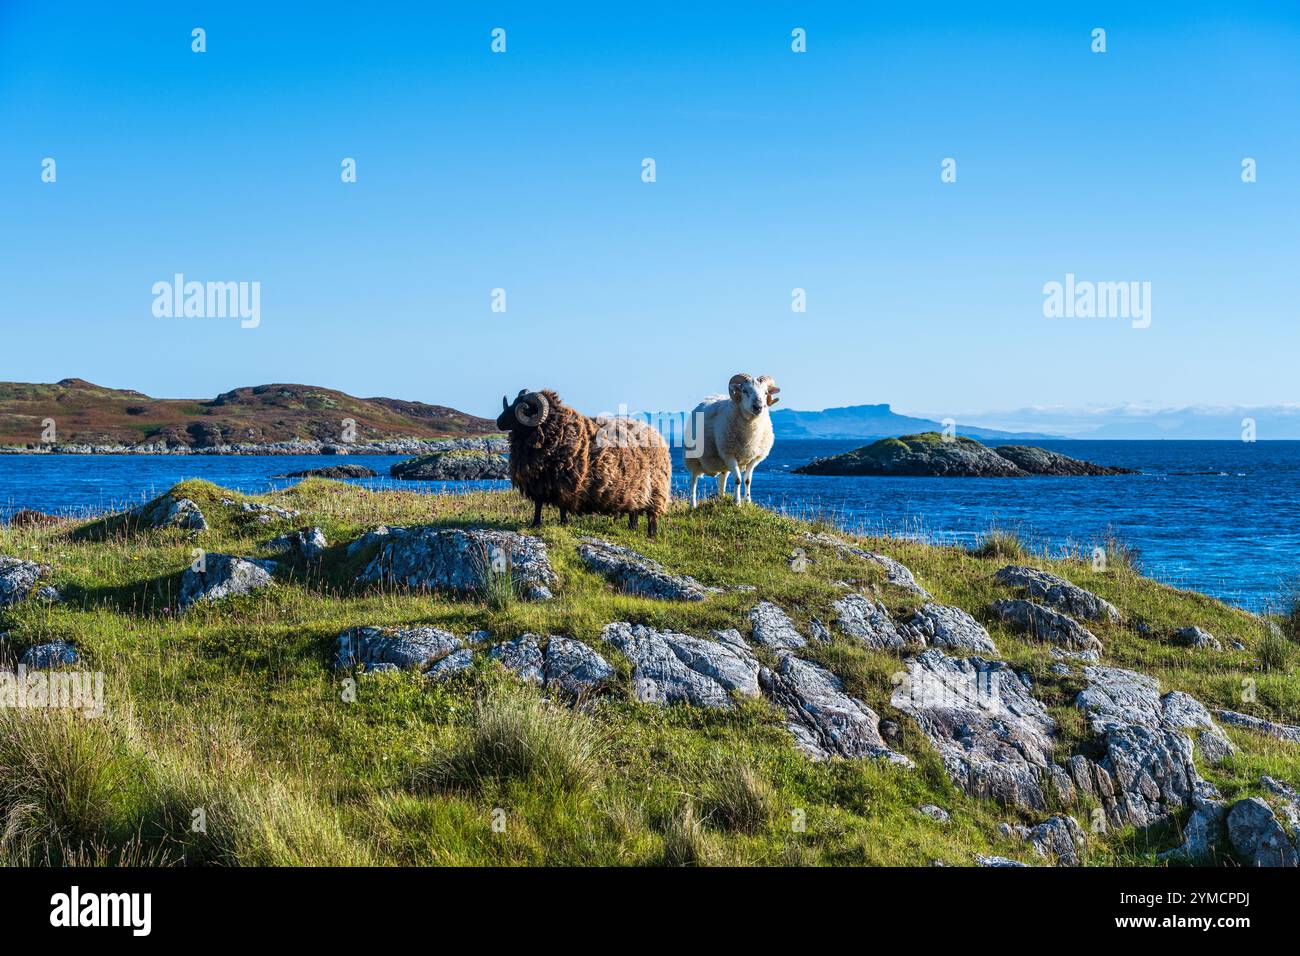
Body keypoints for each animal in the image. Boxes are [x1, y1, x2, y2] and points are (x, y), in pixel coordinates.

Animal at [496, 389, 672, 538]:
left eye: (522, 408)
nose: (498, 422)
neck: (555, 430)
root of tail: (656, 433)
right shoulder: (539, 481)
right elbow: (538, 504)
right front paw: (535, 523)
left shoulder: (564, 481)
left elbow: (561, 506)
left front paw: (563, 523)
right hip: (636, 490)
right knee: (634, 511)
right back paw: (632, 529)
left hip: (657, 489)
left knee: (652, 515)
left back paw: (651, 535)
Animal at [683, 373, 780, 507]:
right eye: (744, 391)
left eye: (766, 392)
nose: (758, 407)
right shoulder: (729, 454)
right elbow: (738, 480)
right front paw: (737, 502)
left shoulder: (754, 458)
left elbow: (747, 480)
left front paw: (748, 501)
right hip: (693, 458)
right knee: (693, 481)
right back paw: (693, 505)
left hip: (722, 463)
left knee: (722, 479)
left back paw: (721, 497)